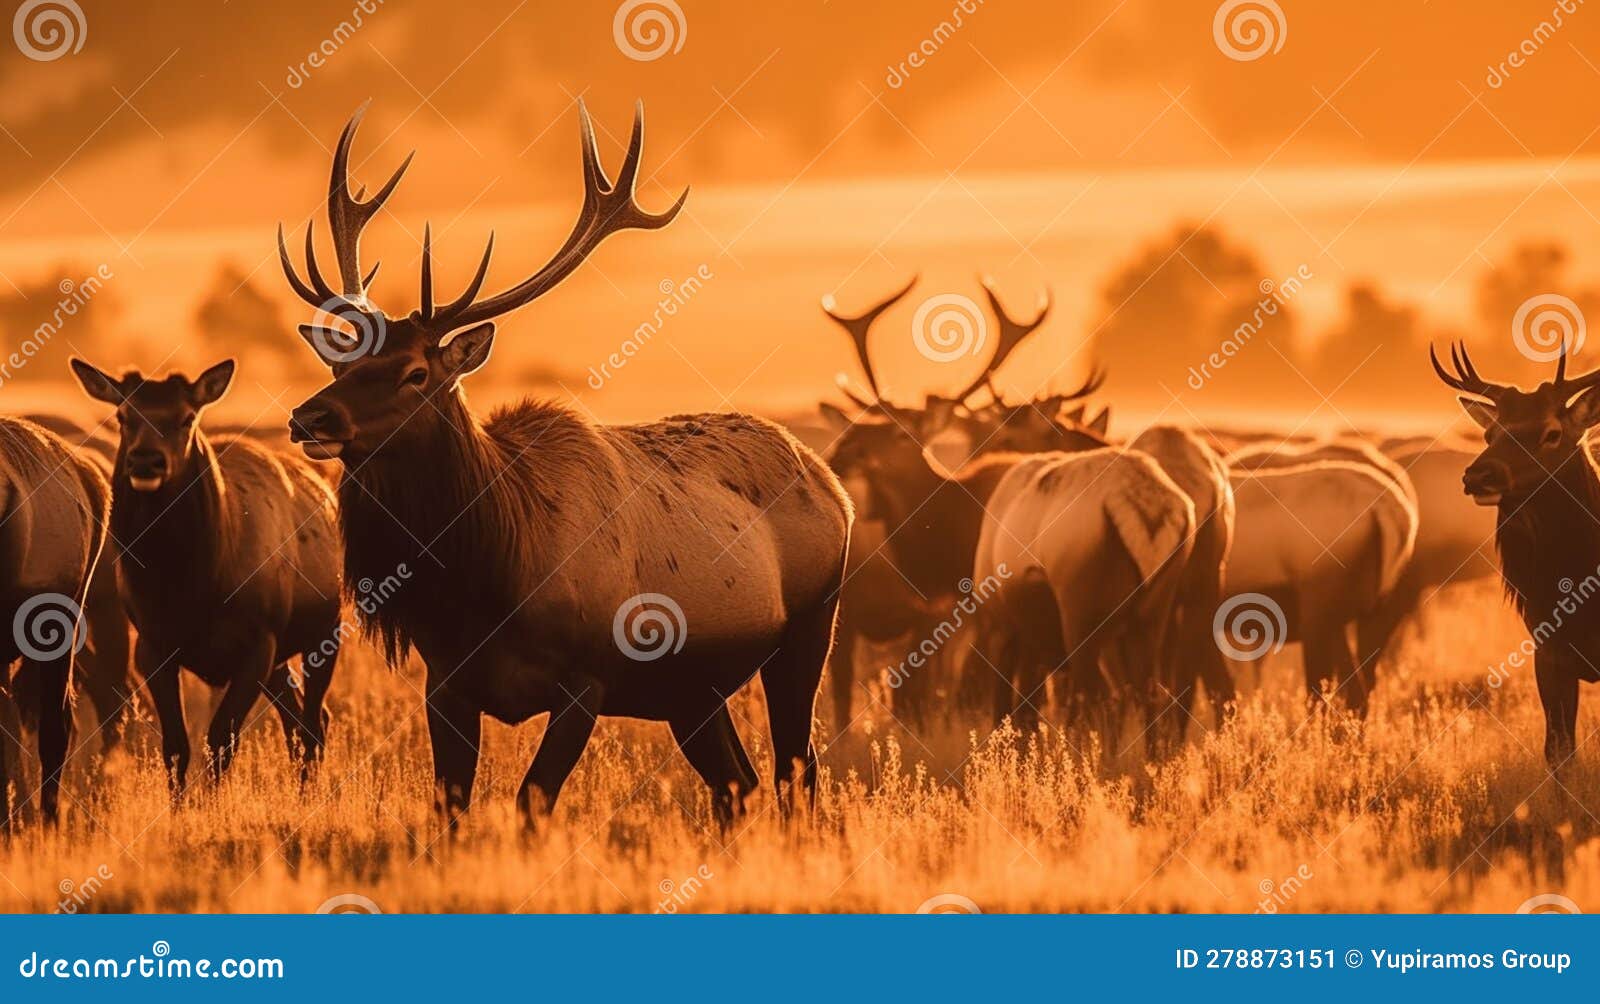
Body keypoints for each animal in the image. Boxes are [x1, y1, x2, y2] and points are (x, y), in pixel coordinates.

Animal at [70, 358, 341, 793]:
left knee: (315, 721)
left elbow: (220, 741)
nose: (145, 460)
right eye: (124, 416)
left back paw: (309, 795)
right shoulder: (152, 646)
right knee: (297, 720)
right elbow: (176, 747)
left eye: (187, 418)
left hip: (326, 628)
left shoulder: (259, 642)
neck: (194, 586)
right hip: (280, 656)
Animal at [278, 102, 852, 831]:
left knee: (795, 774)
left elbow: (532, 801)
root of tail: (832, 482)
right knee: (737, 786)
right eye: (339, 363)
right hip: (691, 690)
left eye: (415, 373)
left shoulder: (588, 679)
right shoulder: (446, 682)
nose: (309, 418)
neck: (487, 581)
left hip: (809, 631)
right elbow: (450, 806)